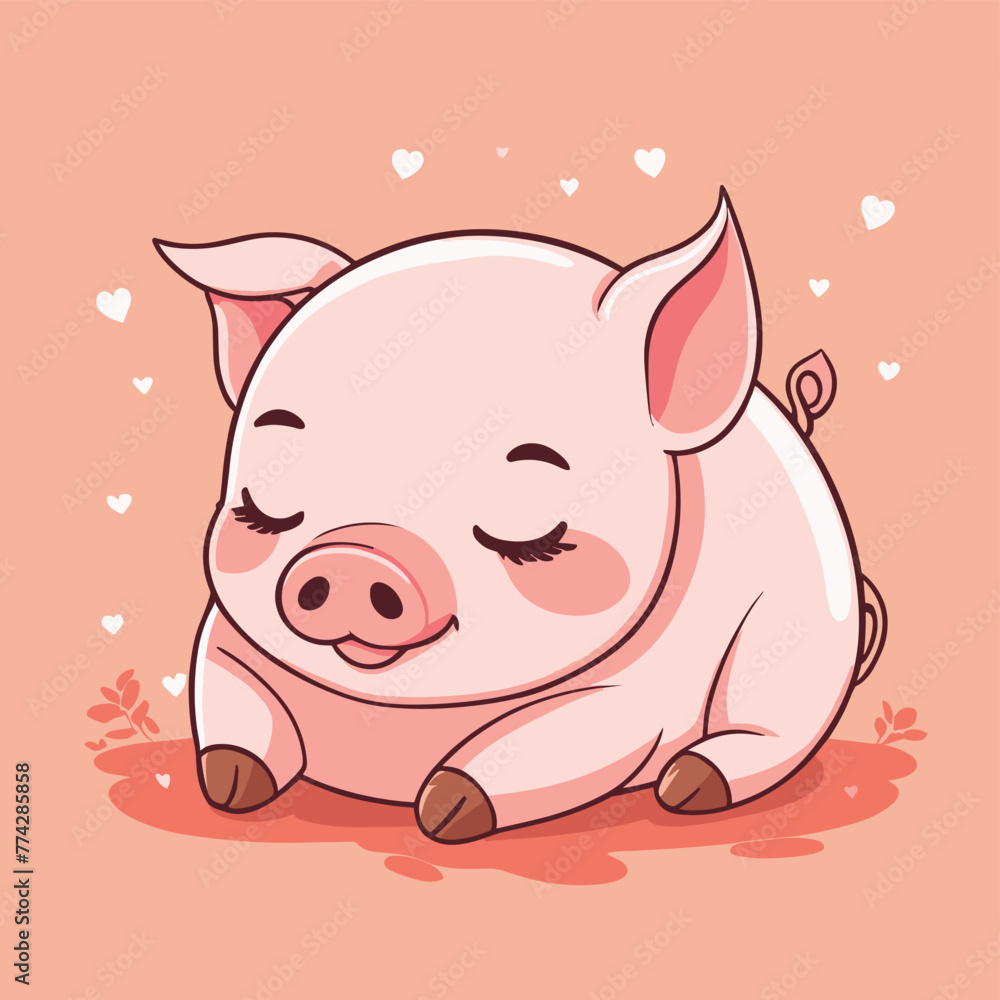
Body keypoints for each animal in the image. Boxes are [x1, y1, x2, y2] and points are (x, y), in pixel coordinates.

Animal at [154, 188, 886, 843]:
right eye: (265, 505)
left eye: (529, 534)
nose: (357, 555)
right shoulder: (223, 640)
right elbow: (233, 702)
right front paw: (226, 785)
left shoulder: (633, 701)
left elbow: (556, 738)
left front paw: (443, 815)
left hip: (796, 632)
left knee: (774, 729)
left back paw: (691, 788)